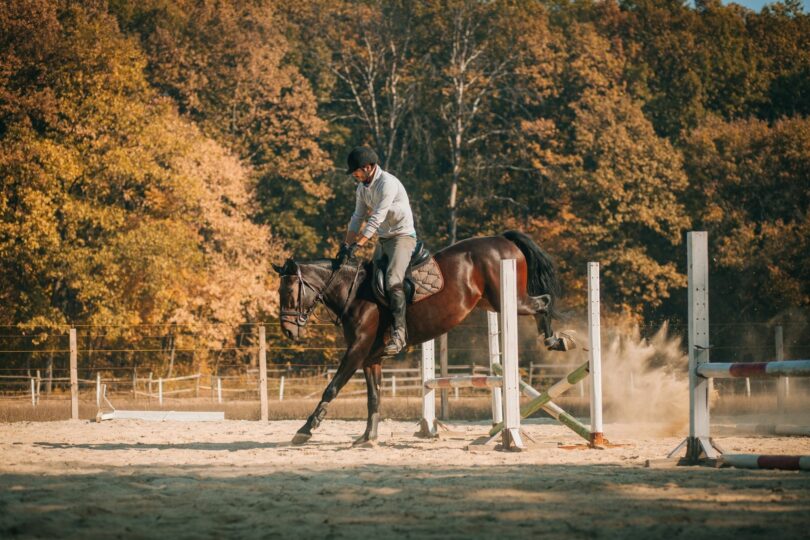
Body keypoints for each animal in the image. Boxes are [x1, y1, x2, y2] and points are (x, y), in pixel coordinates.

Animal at [272, 230, 574, 445]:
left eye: (288, 293)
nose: (288, 330)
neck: (353, 292)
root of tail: (503, 239)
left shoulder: (357, 351)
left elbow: (332, 388)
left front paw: (306, 429)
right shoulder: (371, 357)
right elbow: (374, 397)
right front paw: (368, 438)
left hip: (511, 299)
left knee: (544, 302)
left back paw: (556, 340)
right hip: (492, 302)